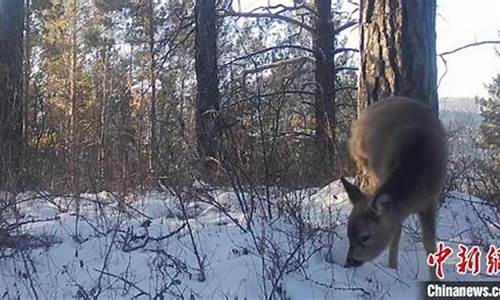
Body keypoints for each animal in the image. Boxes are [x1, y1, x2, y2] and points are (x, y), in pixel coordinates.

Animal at [342, 95, 448, 278]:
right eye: (348, 235)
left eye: (365, 237)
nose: (349, 262)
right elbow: (395, 234)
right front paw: (393, 268)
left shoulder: (431, 201)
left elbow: (430, 245)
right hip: (367, 165)